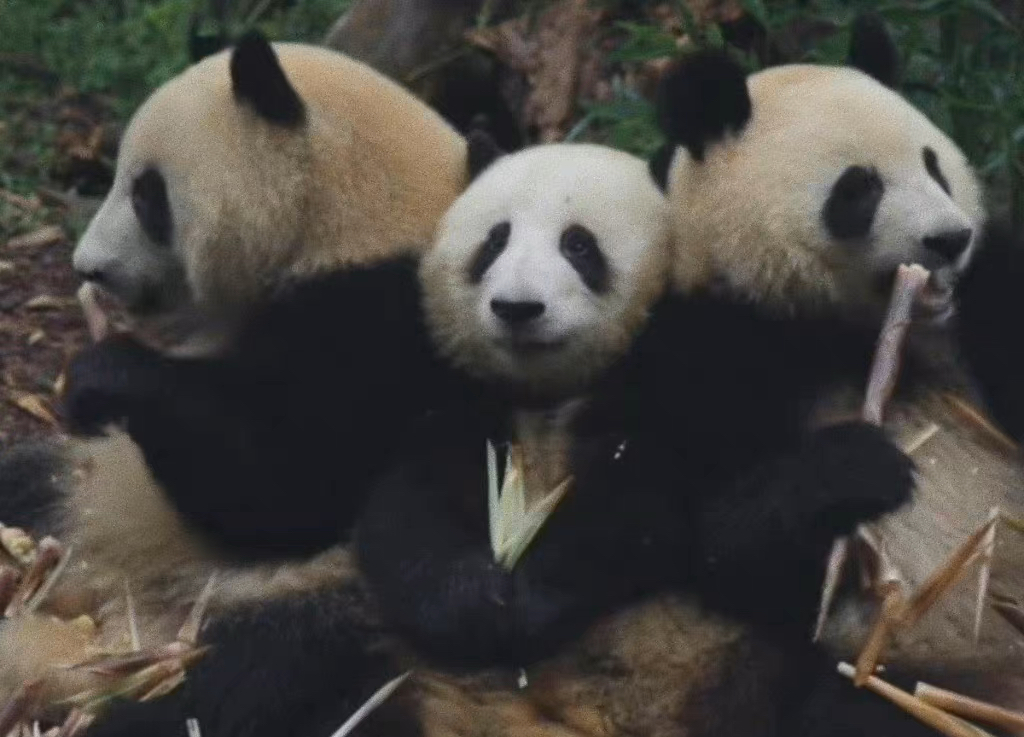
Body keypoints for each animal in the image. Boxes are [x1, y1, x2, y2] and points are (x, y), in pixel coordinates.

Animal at [650, 15, 1024, 707]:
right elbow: (721, 542)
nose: (950, 238)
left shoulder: (984, 300)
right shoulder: (709, 343)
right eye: (859, 187)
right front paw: (860, 467)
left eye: (935, 165)